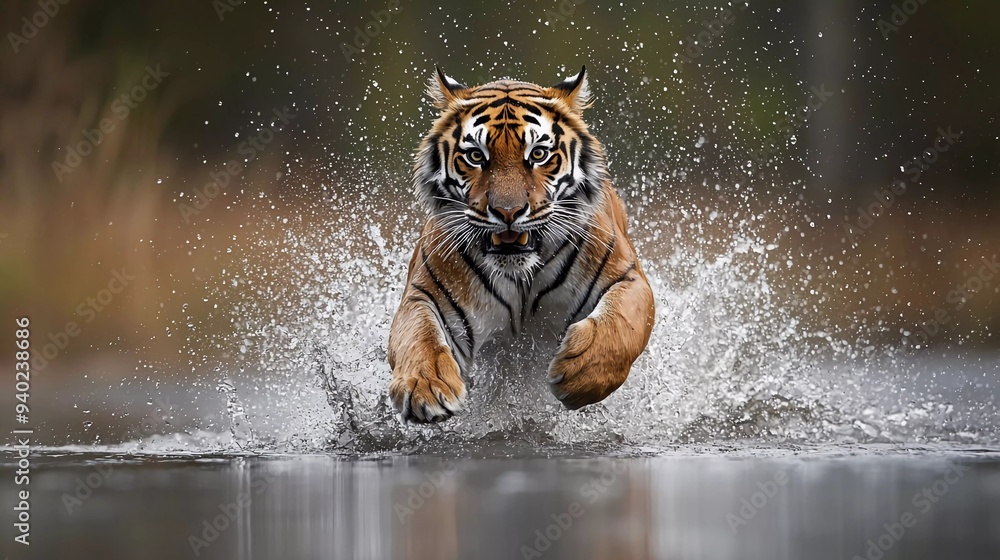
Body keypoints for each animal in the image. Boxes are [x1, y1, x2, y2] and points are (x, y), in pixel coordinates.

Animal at [388, 66, 655, 423]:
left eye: (538, 154)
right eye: (476, 156)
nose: (508, 212)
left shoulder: (628, 278)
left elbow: (621, 326)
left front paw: (582, 373)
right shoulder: (426, 294)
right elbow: (419, 337)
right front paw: (425, 387)